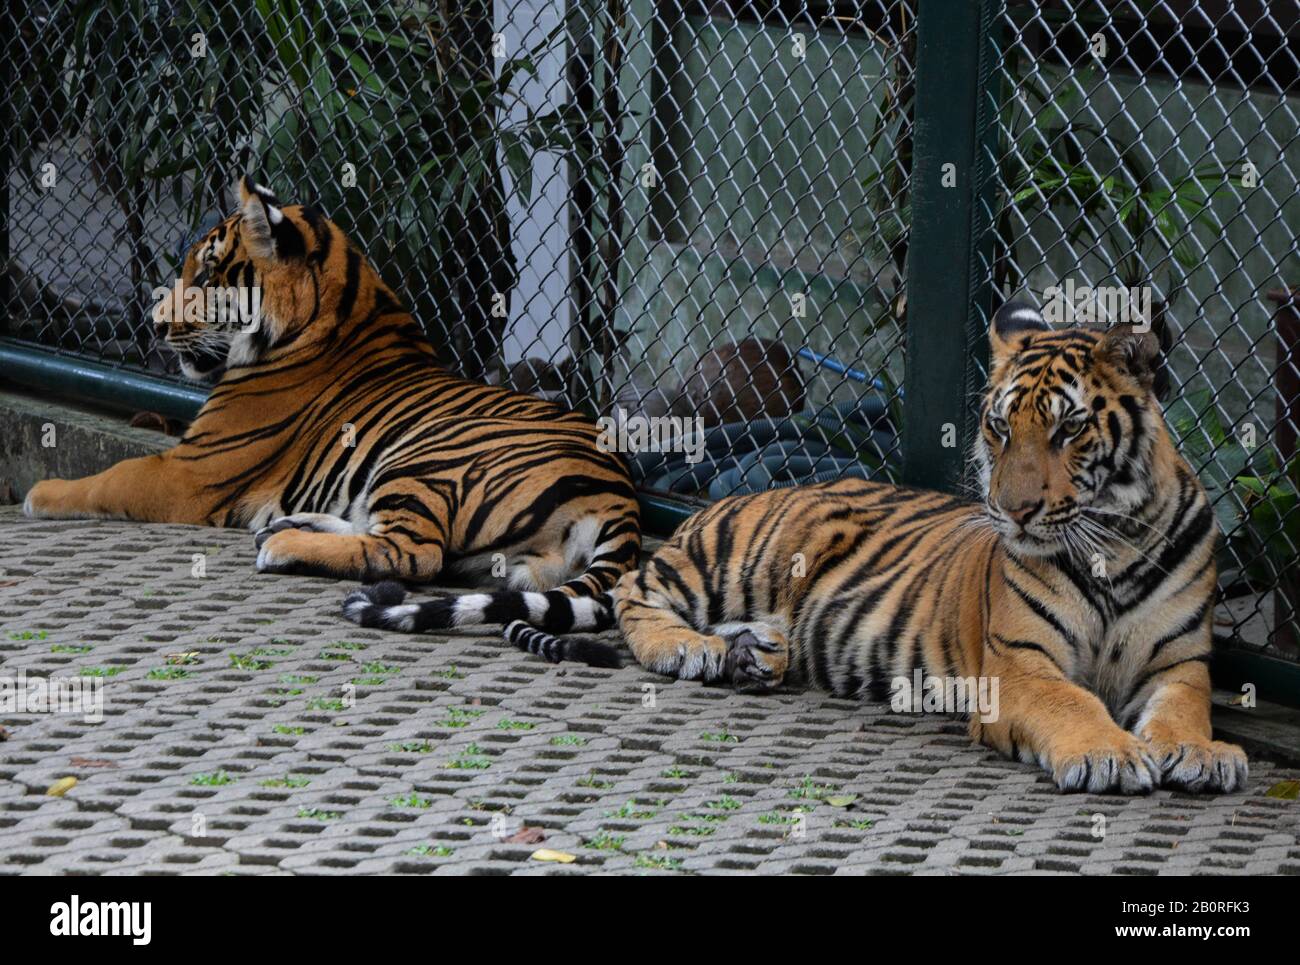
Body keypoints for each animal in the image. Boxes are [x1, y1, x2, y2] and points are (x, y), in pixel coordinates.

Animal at [24, 176, 640, 635]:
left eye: (207, 272)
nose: (154, 326)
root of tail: (623, 498)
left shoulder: (189, 471)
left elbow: (112, 476)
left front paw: (40, 493)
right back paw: (291, 523)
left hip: (427, 457)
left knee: (413, 552)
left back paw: (284, 543)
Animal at [346, 301, 1248, 795]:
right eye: (999, 425)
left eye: (1066, 429)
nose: (1013, 507)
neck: (1111, 546)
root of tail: (724, 496)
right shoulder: (1020, 666)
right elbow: (1073, 704)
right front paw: (1108, 753)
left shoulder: (1180, 662)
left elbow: (1184, 709)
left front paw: (1200, 753)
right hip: (741, 555)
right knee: (635, 592)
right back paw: (693, 651)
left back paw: (753, 655)